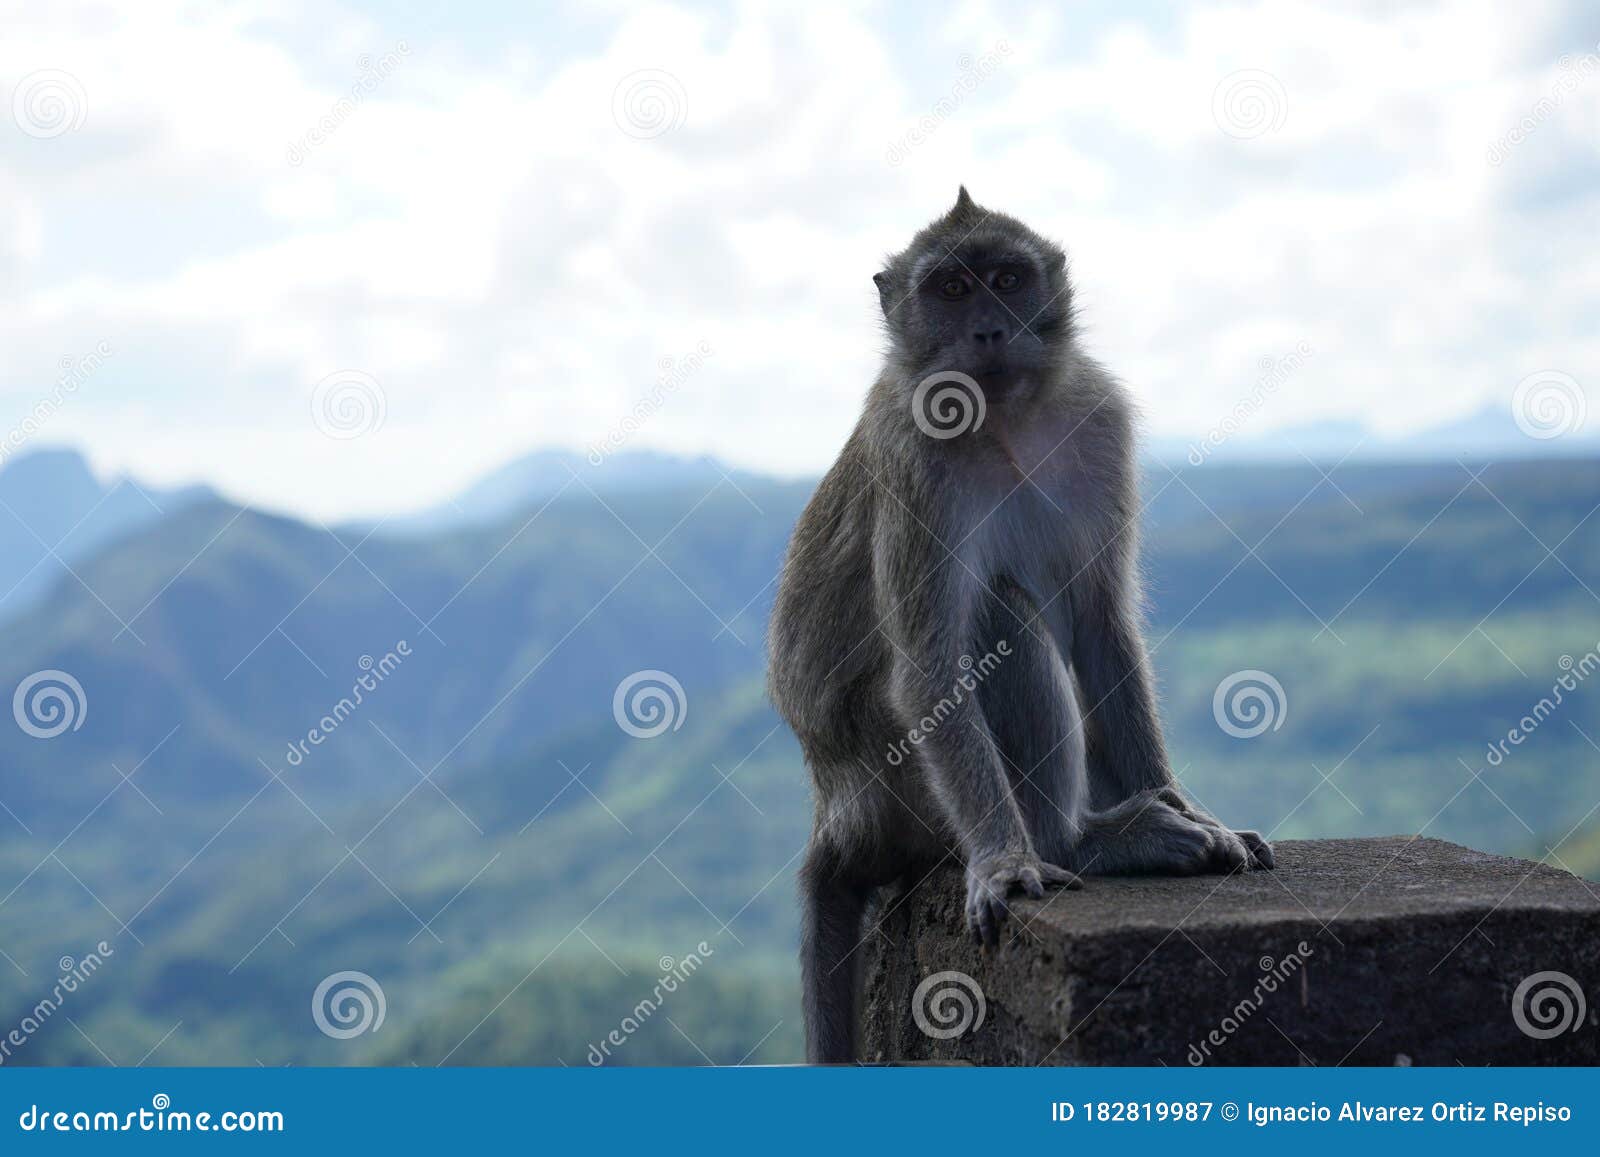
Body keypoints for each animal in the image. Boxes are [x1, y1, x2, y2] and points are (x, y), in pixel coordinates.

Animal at [766, 188, 1274, 1064]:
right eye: (951, 289)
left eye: (1006, 278)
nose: (990, 330)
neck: (1003, 419)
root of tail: (835, 806)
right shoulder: (914, 457)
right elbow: (929, 668)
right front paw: (1006, 863)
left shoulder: (1101, 424)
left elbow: (1102, 627)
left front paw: (1187, 802)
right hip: (906, 789)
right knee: (998, 613)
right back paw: (1079, 844)